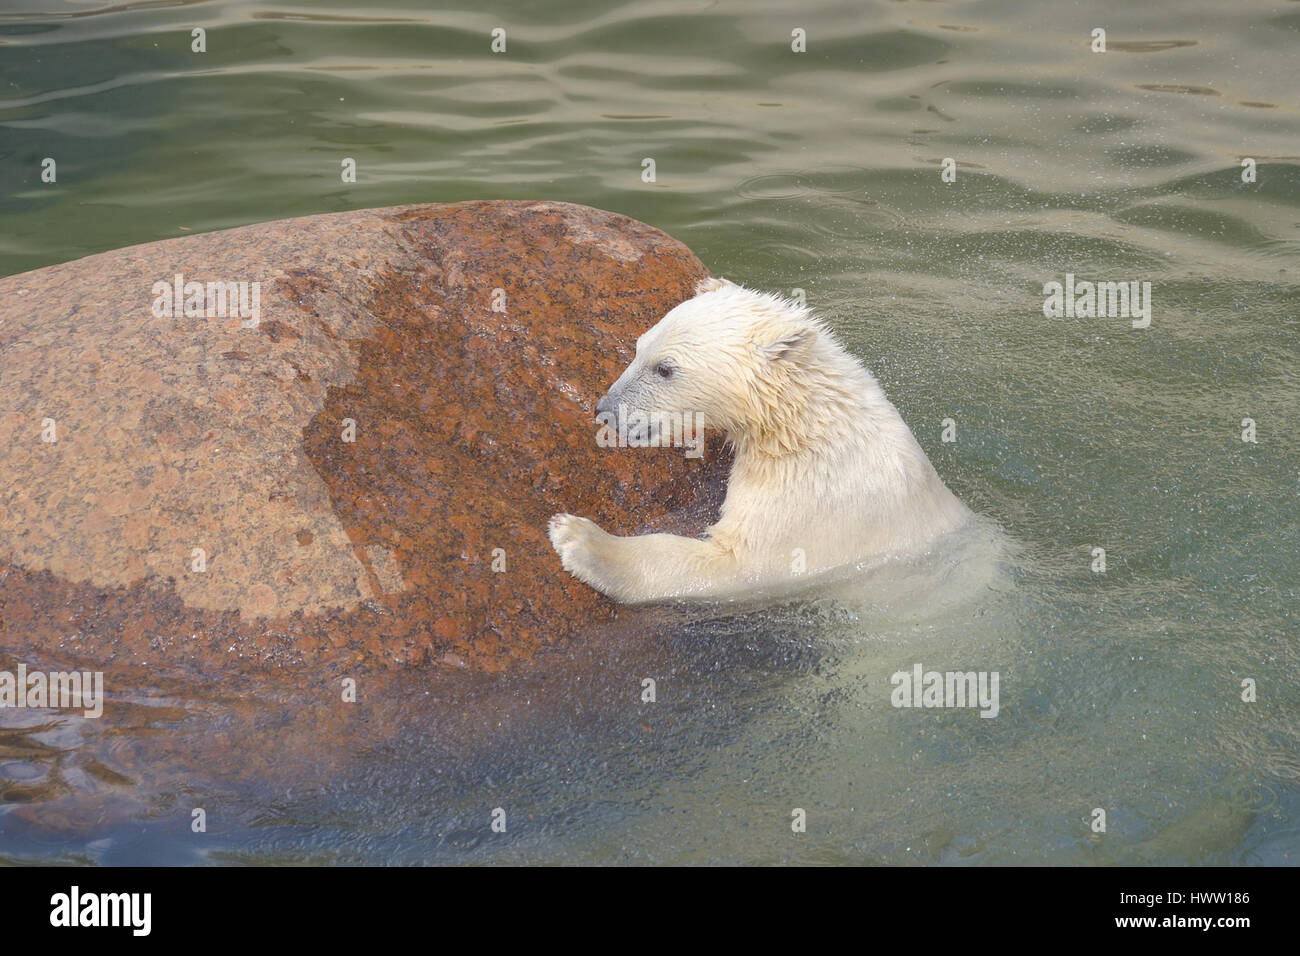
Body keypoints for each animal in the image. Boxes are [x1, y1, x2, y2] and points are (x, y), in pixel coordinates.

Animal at [548, 277, 972, 604]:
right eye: (638, 347)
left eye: (665, 368)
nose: (605, 409)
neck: (806, 425)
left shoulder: (813, 504)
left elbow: (735, 564)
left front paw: (578, 537)